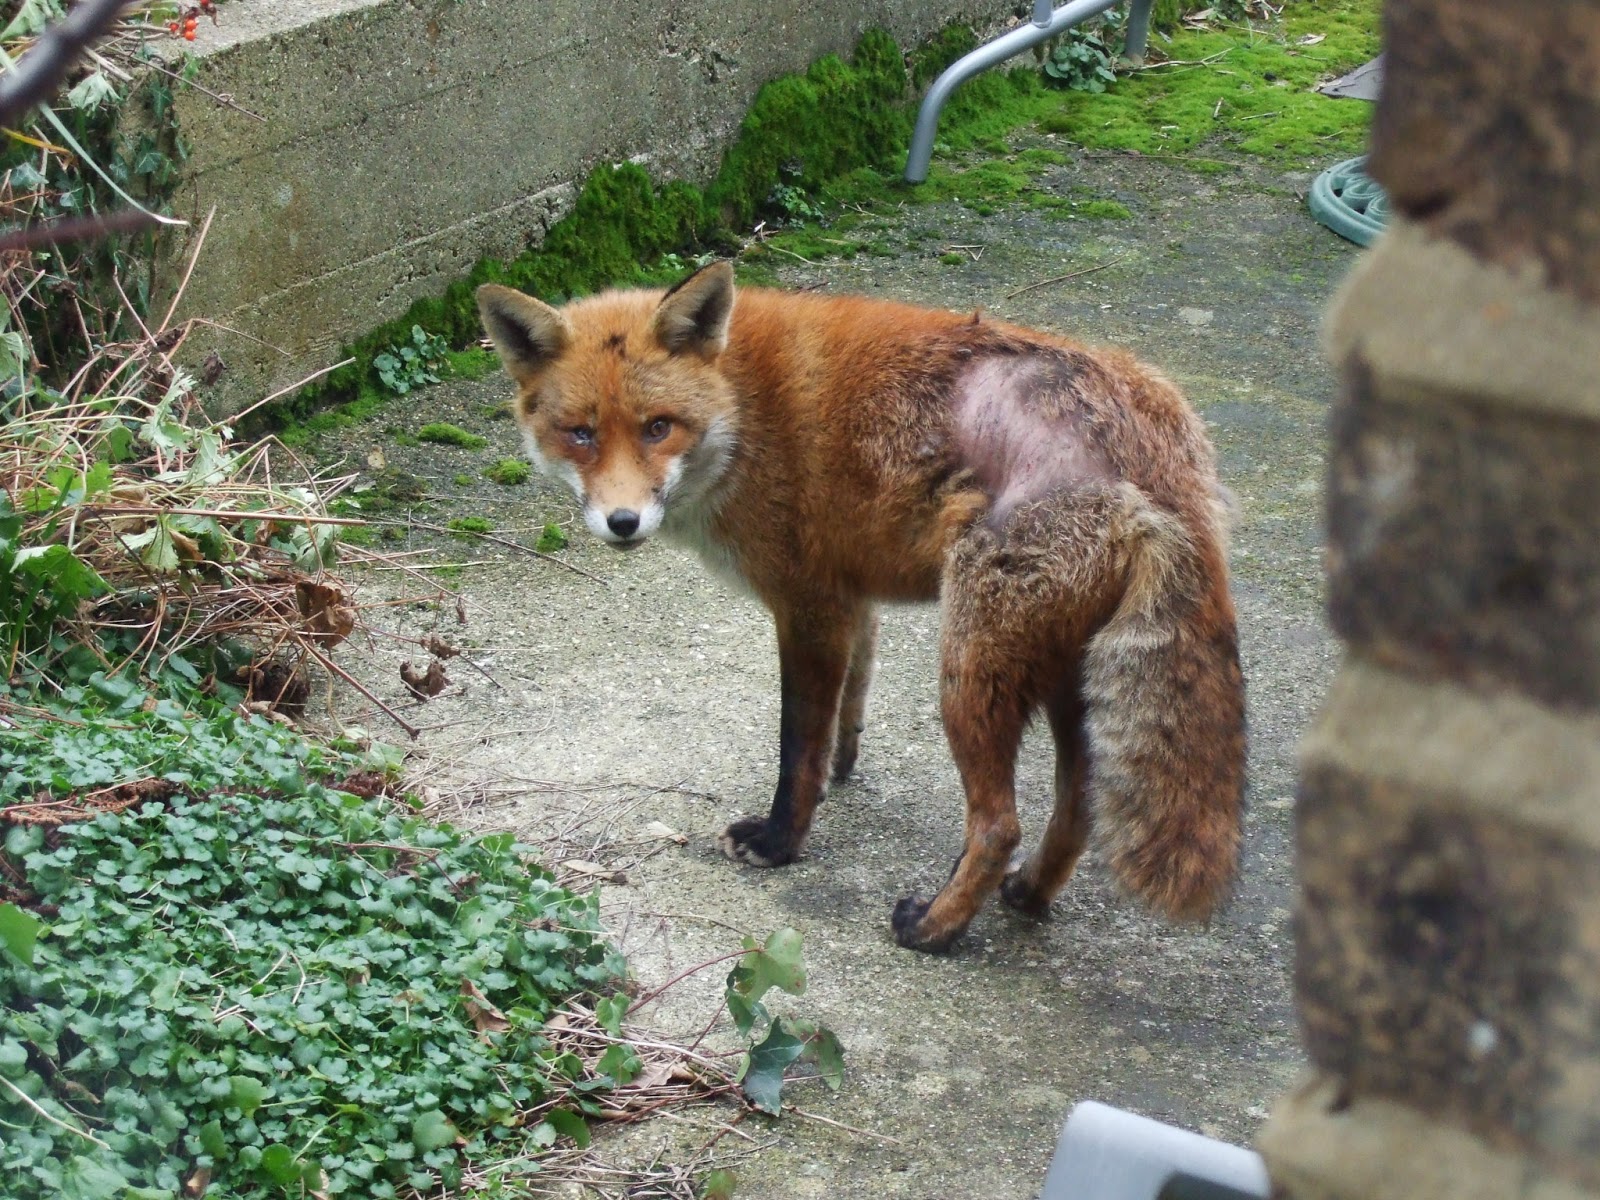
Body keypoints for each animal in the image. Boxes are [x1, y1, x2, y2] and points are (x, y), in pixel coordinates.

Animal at [476, 262, 1247, 954]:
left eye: (657, 427)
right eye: (580, 433)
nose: (623, 523)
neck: (741, 411)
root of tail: (1161, 448)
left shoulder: (808, 606)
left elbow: (797, 748)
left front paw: (781, 840)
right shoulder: (854, 599)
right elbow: (851, 702)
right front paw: (844, 768)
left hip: (971, 668)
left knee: (1000, 824)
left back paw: (935, 929)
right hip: (1062, 666)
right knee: (1079, 803)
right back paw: (1029, 895)